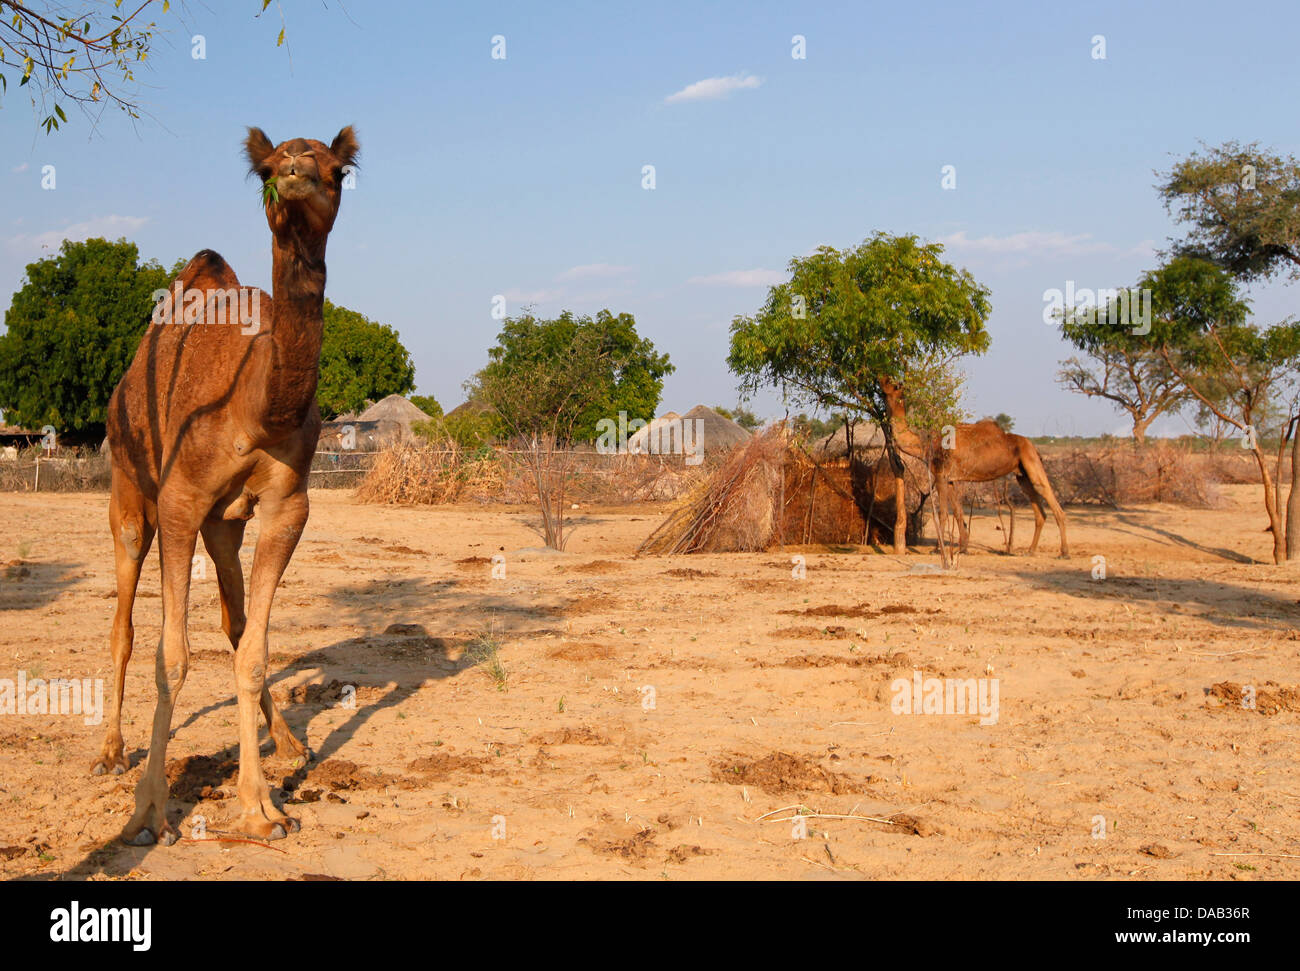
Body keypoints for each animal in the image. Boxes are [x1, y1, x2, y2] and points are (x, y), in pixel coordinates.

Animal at [95, 126, 360, 845]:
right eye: (267, 169)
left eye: (338, 170)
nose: (295, 174)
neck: (256, 404)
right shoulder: (180, 501)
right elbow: (171, 656)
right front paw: (149, 809)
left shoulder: (286, 504)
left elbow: (252, 647)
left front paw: (261, 805)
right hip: (129, 489)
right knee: (125, 619)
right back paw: (110, 751)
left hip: (224, 524)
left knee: (235, 622)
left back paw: (288, 743)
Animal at [878, 376, 1069, 558]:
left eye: (891, 383)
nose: (880, 376)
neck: (924, 445)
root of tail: (1034, 447)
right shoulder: (950, 479)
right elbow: (958, 512)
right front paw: (963, 549)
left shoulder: (940, 475)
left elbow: (941, 513)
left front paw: (937, 550)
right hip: (1022, 475)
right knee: (1039, 512)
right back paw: (1030, 551)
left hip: (1031, 463)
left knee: (1050, 499)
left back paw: (1064, 553)